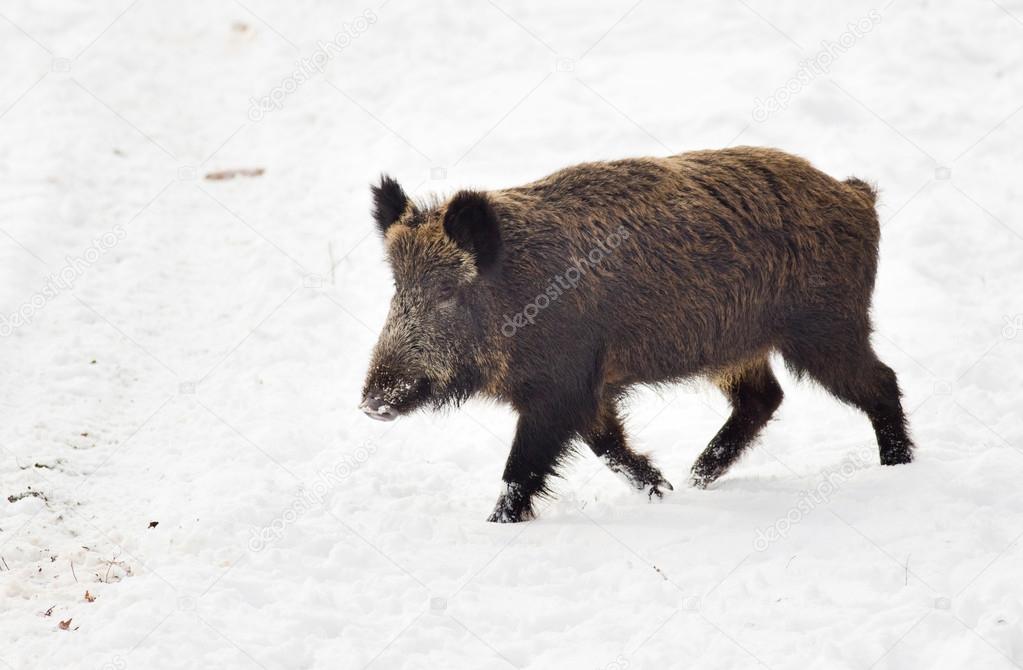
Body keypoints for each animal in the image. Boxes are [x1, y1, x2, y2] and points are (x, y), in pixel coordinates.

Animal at [360, 146, 914, 522]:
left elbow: (523, 467)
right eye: (397, 287)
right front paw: (661, 489)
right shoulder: (587, 389)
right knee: (764, 397)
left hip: (826, 329)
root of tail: (856, 194)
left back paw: (898, 467)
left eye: (448, 291)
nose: (371, 403)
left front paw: (496, 526)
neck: (520, 292)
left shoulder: (561, 387)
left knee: (880, 382)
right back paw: (696, 478)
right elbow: (606, 443)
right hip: (740, 349)